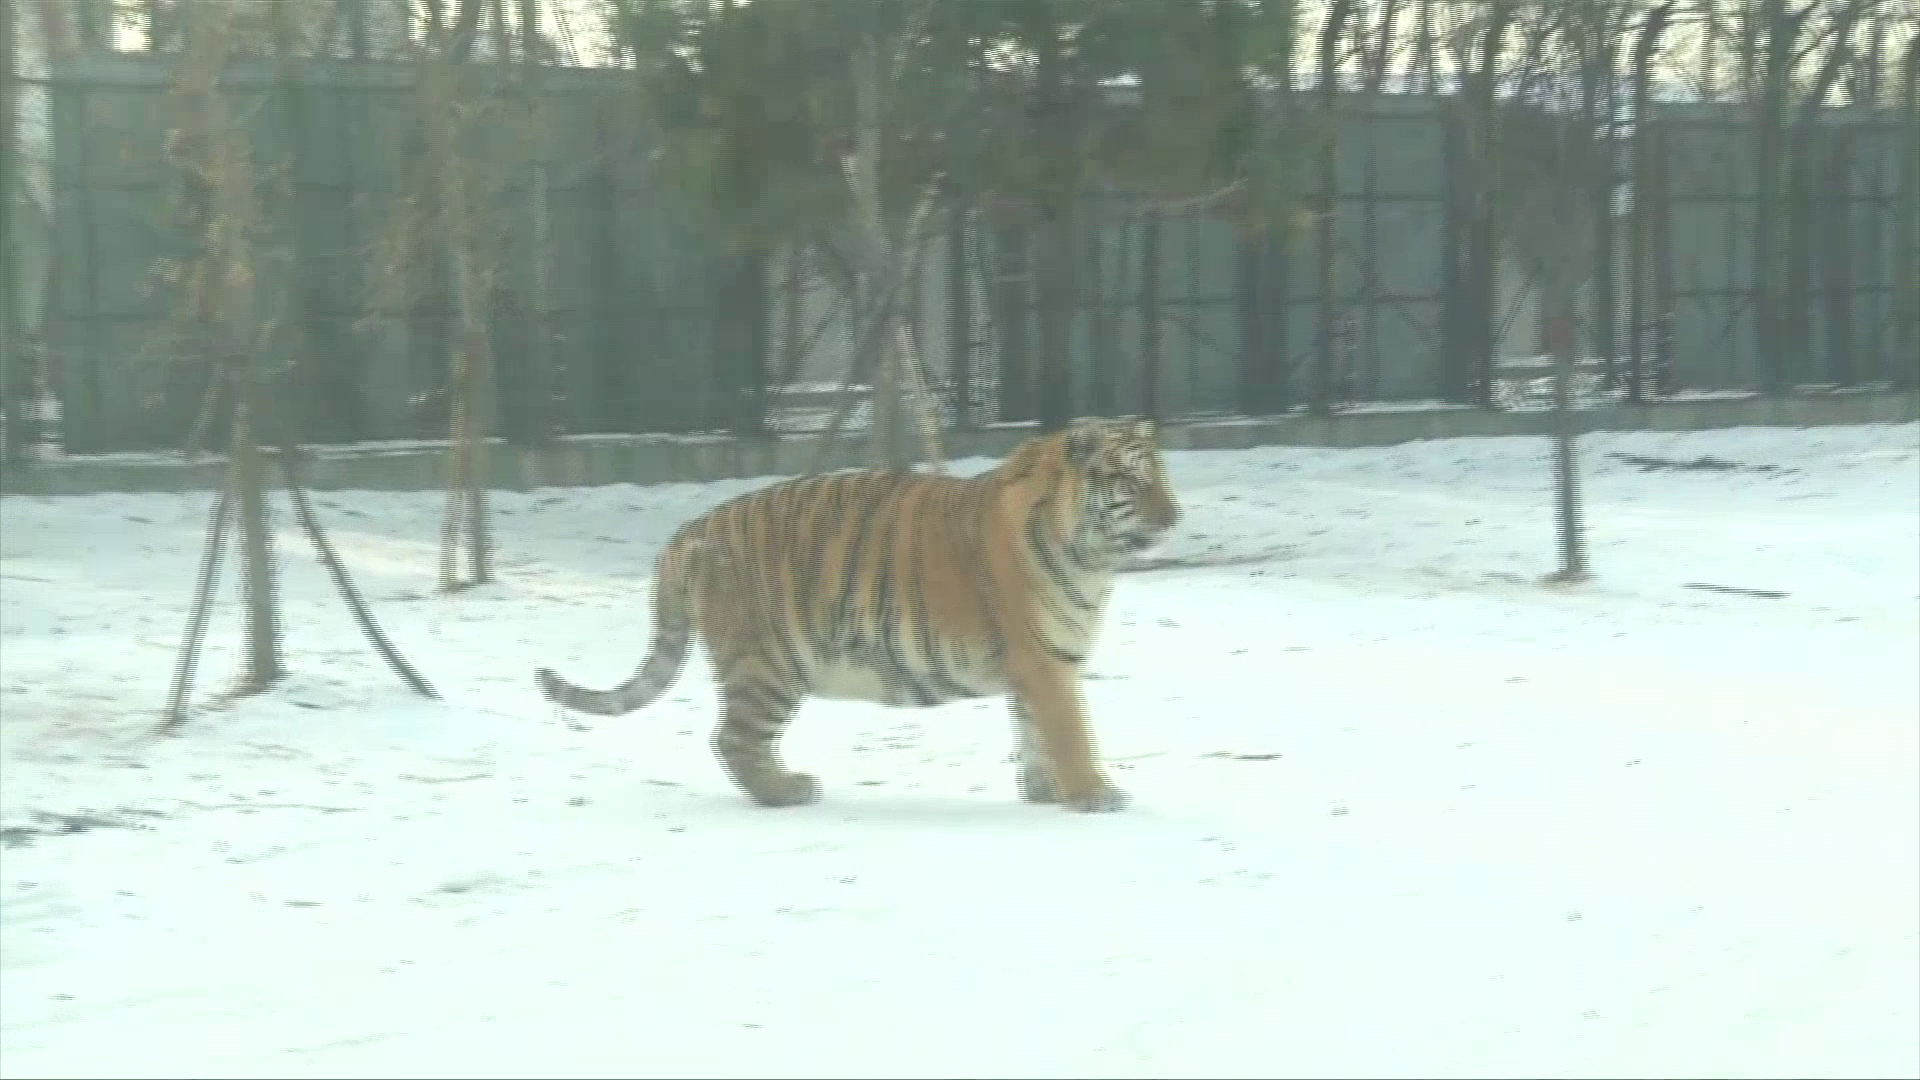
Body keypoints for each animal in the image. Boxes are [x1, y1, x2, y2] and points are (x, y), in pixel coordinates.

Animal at [533, 415, 1182, 813]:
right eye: (1130, 479)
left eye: (1161, 476)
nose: (1174, 514)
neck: (1089, 556)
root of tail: (690, 532)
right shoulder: (1042, 660)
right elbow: (1071, 730)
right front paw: (1095, 794)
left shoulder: (1042, 663)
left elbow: (1035, 731)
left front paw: (1045, 789)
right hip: (769, 664)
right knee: (732, 739)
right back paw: (788, 790)